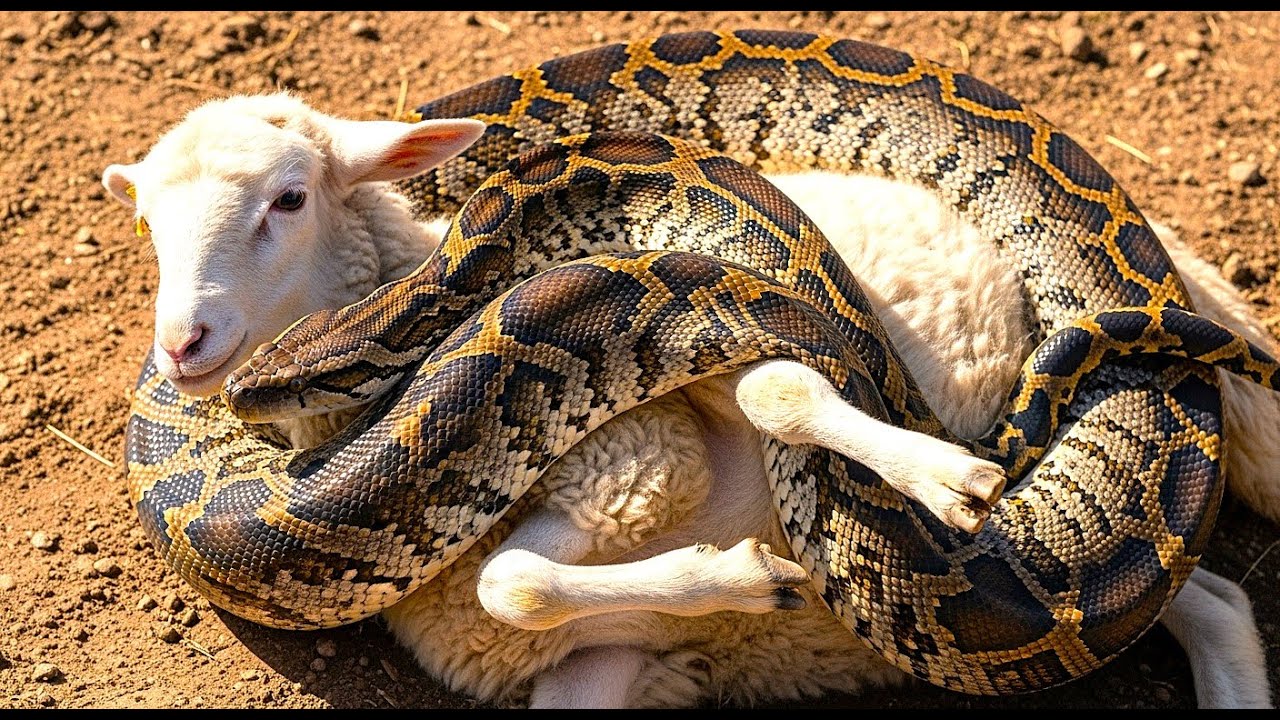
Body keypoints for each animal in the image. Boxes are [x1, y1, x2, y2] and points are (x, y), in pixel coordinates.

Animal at [103, 92, 1276, 709]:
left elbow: (775, 384)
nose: (217, 379)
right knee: (1211, 595)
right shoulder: (597, 655)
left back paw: (943, 475)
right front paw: (739, 581)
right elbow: (524, 590)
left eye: (288, 202)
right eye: (148, 226)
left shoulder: (658, 405)